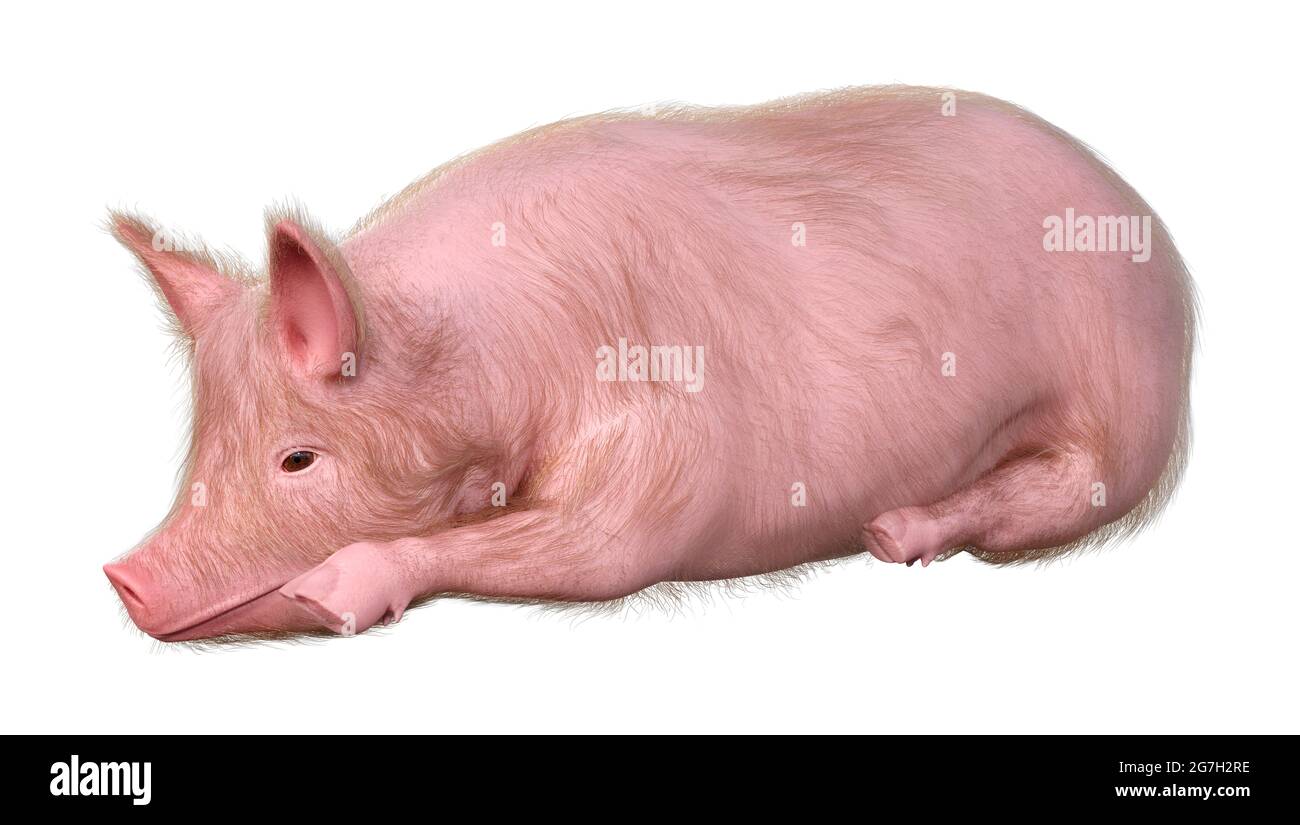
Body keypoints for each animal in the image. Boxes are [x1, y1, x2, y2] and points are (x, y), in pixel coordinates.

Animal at [104, 86, 1196, 641]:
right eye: (199, 445)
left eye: (299, 458)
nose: (124, 578)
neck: (486, 357)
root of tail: (1147, 227)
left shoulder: (668, 435)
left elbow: (607, 546)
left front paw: (334, 593)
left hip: (1123, 408)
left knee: (1059, 495)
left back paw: (892, 534)